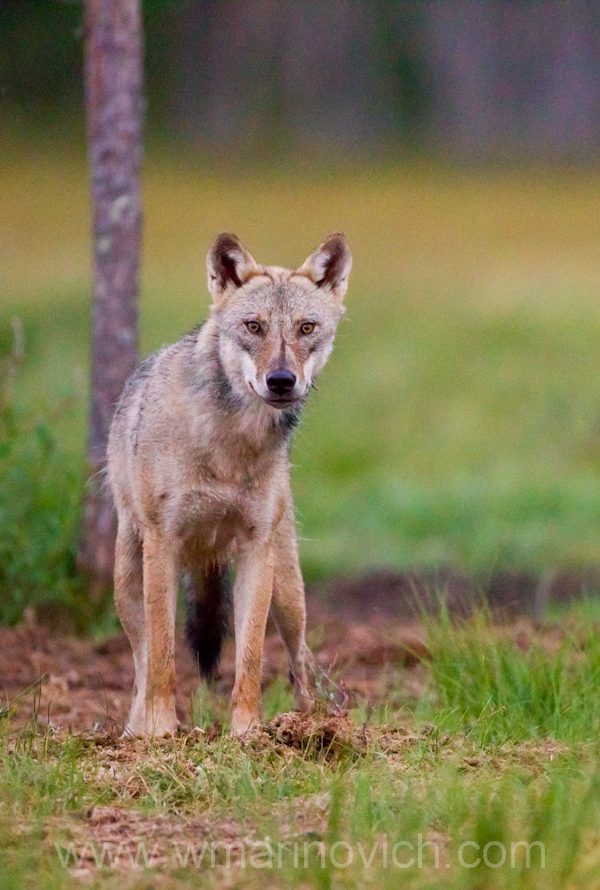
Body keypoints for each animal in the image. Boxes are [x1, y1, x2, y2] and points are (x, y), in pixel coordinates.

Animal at [107, 232, 352, 736]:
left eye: (306, 328)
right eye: (253, 326)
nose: (281, 380)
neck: (229, 445)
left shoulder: (256, 551)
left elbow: (250, 659)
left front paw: (248, 734)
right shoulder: (162, 544)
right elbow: (163, 658)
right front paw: (162, 733)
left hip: (289, 592)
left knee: (300, 662)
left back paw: (315, 726)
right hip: (127, 579)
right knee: (141, 659)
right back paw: (134, 733)